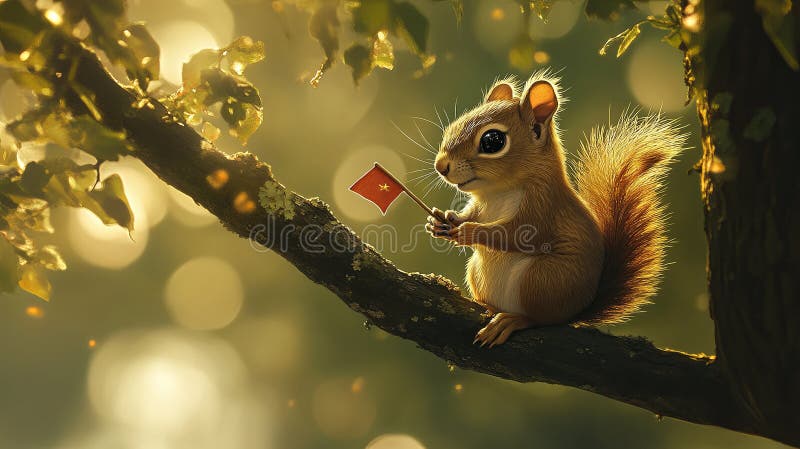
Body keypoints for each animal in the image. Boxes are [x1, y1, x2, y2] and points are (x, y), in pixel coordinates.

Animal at [425, 71, 686, 347]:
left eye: (492, 141)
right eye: (452, 127)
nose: (441, 166)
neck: (498, 192)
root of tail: (575, 312)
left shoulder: (543, 206)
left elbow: (515, 235)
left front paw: (469, 231)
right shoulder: (480, 206)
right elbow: (470, 214)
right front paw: (444, 219)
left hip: (542, 280)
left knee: (539, 318)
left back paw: (512, 320)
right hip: (480, 272)